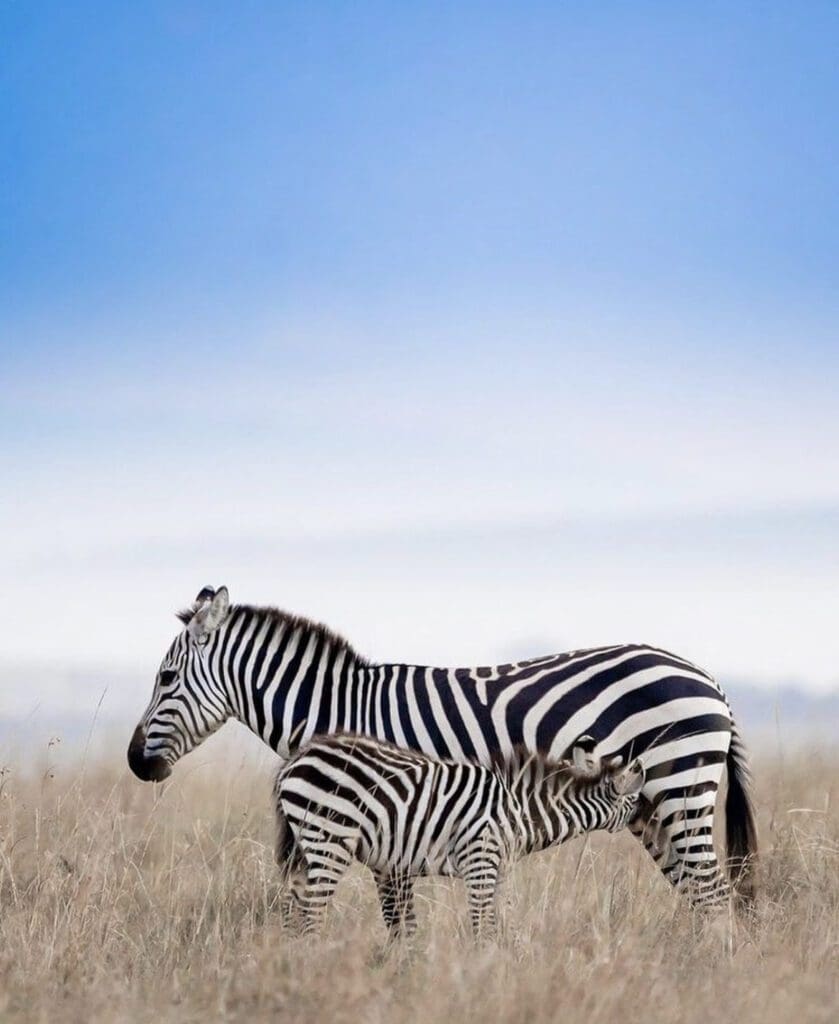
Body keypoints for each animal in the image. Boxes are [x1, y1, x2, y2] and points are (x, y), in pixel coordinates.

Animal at [128, 585, 758, 910]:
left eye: (166, 679)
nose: (135, 763)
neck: (339, 709)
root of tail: (708, 679)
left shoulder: (390, 817)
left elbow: (398, 919)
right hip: (650, 809)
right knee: (699, 894)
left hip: (680, 789)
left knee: (713, 893)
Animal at [272, 733, 646, 937]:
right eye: (636, 803)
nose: (651, 818)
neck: (521, 811)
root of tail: (300, 756)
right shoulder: (479, 859)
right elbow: (481, 922)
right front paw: (481, 970)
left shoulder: (499, 868)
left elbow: (498, 920)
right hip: (329, 838)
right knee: (312, 909)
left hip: (309, 845)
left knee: (294, 903)